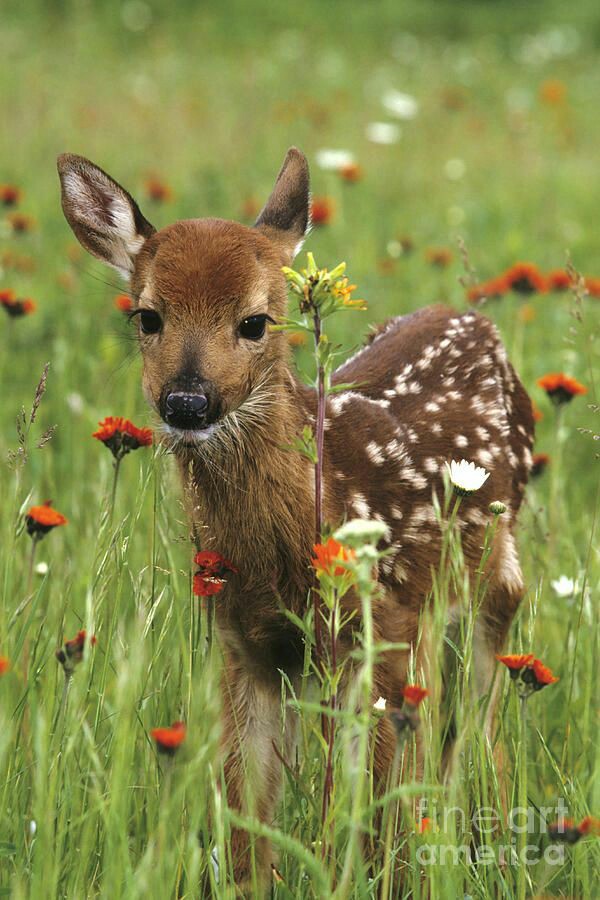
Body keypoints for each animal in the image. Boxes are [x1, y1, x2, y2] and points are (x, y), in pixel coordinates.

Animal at [57, 147, 534, 894]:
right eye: (147, 316)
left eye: (255, 322)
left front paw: (389, 880)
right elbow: (246, 825)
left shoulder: (379, 633)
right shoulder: (243, 648)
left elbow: (376, 818)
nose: (187, 402)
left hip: (493, 585)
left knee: (480, 731)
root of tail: (473, 319)